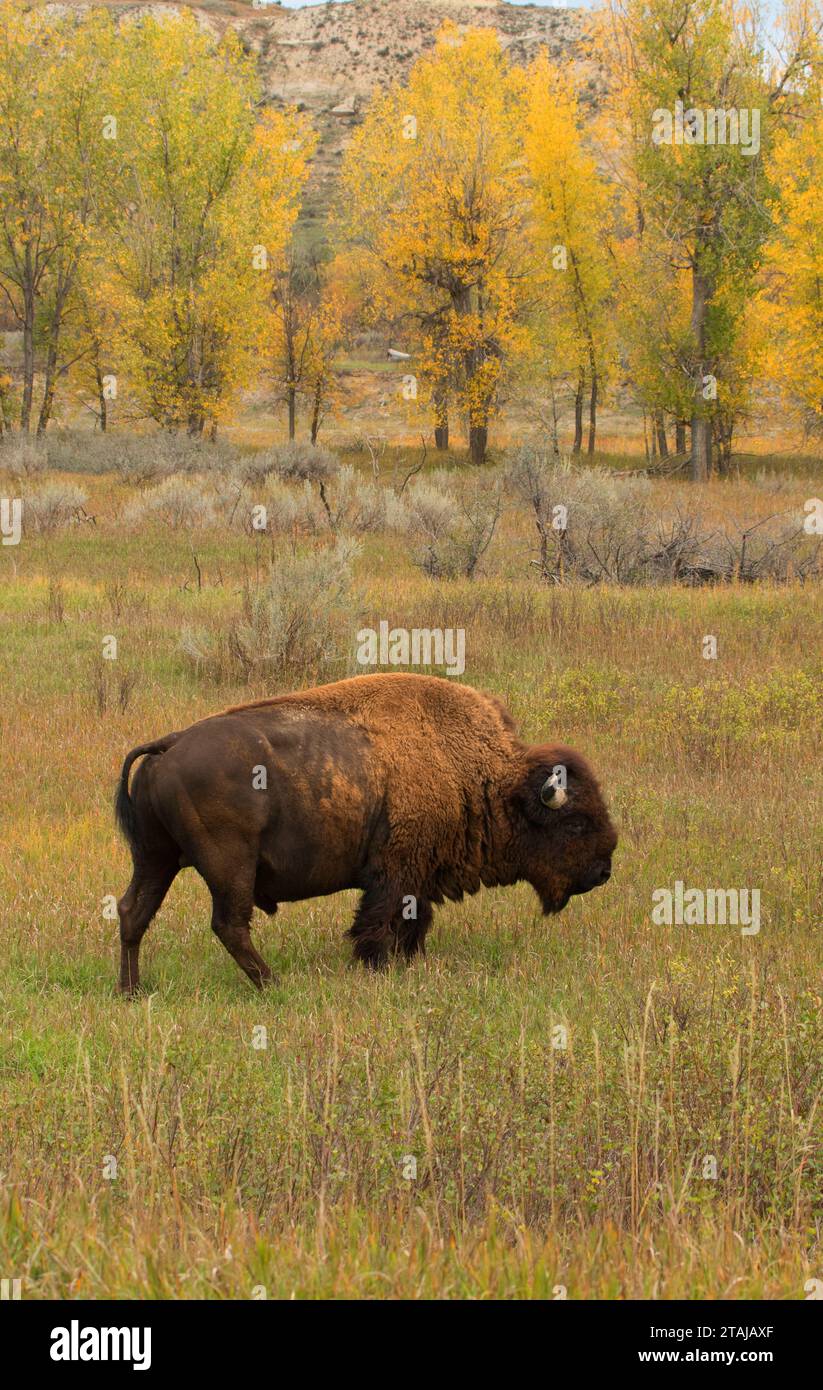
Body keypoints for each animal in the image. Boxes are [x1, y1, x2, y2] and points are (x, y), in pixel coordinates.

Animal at [114, 673, 617, 993]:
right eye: (575, 822)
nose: (603, 871)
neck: (484, 775)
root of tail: (170, 744)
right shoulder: (396, 872)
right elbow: (380, 922)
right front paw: (377, 965)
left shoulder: (419, 876)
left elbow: (416, 921)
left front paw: (411, 962)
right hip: (229, 866)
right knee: (228, 924)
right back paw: (273, 985)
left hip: (155, 858)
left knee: (132, 911)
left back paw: (131, 990)